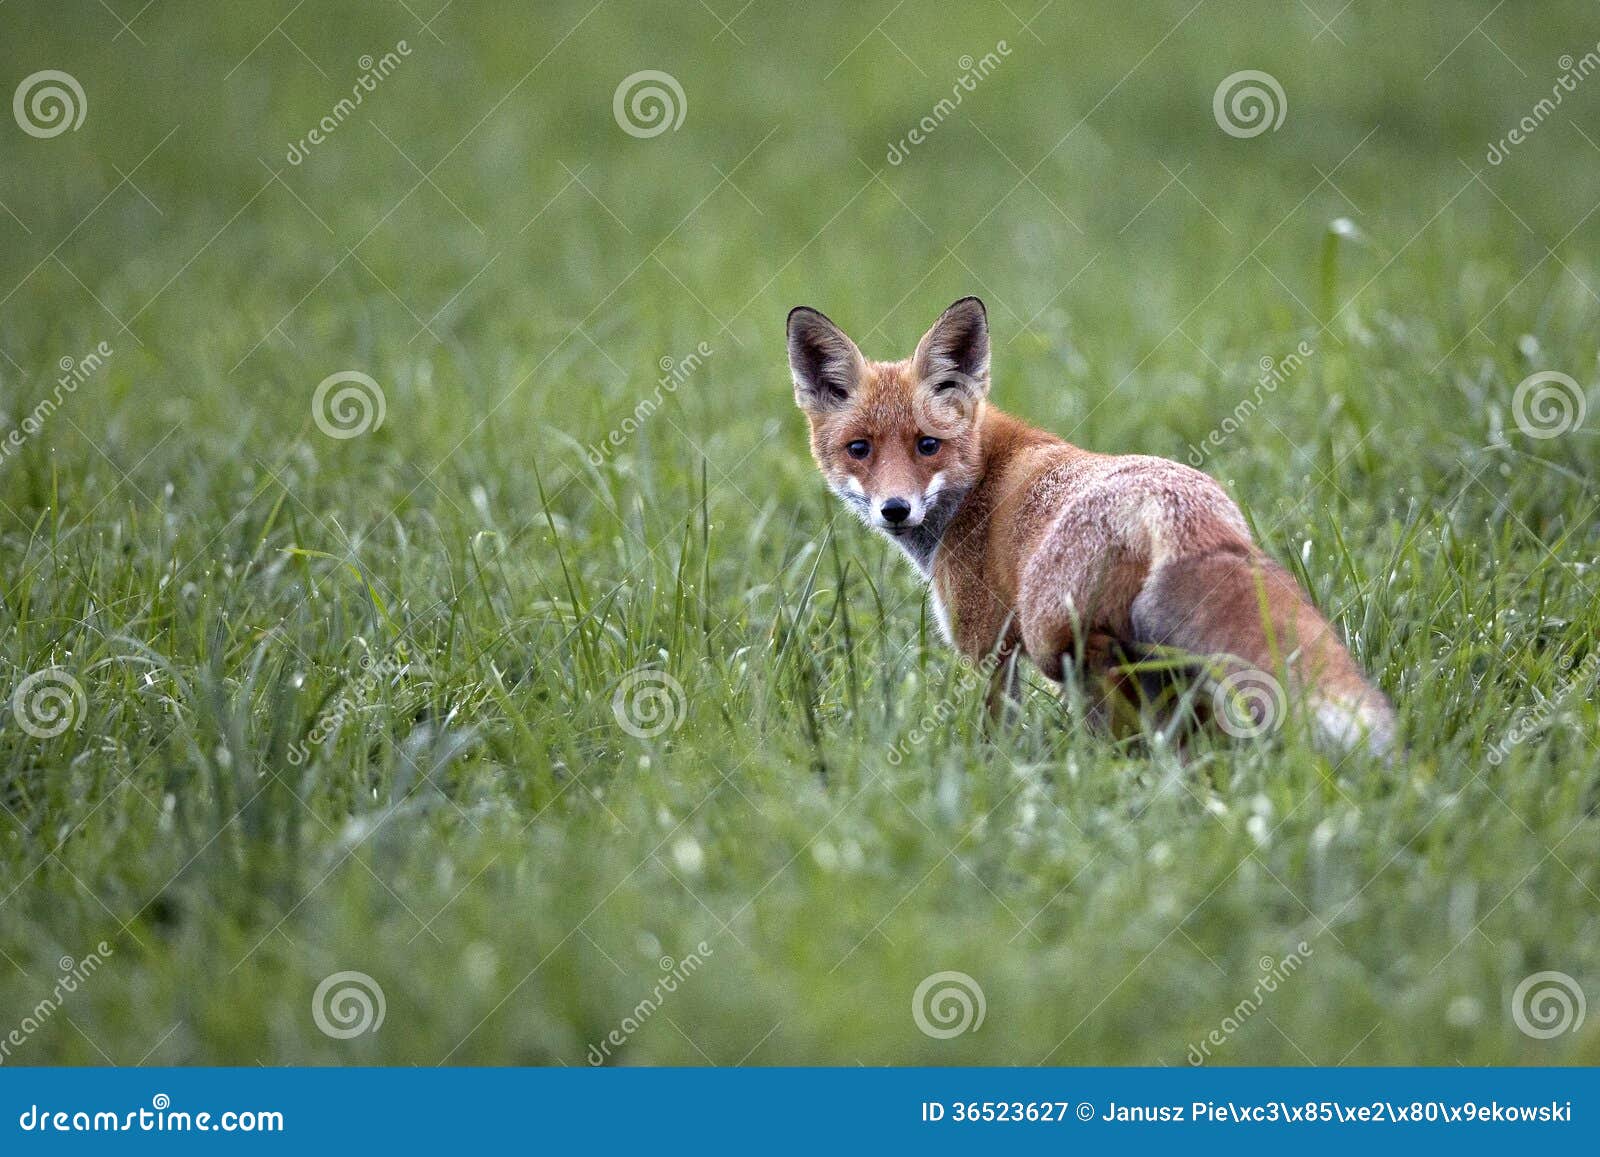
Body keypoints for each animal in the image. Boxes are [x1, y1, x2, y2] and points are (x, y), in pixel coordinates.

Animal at [786, 296, 1396, 757]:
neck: (979, 477)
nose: (895, 508)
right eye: (859, 449)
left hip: (1058, 641)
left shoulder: (990, 647)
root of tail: (1177, 508)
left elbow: (992, 732)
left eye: (927, 445)